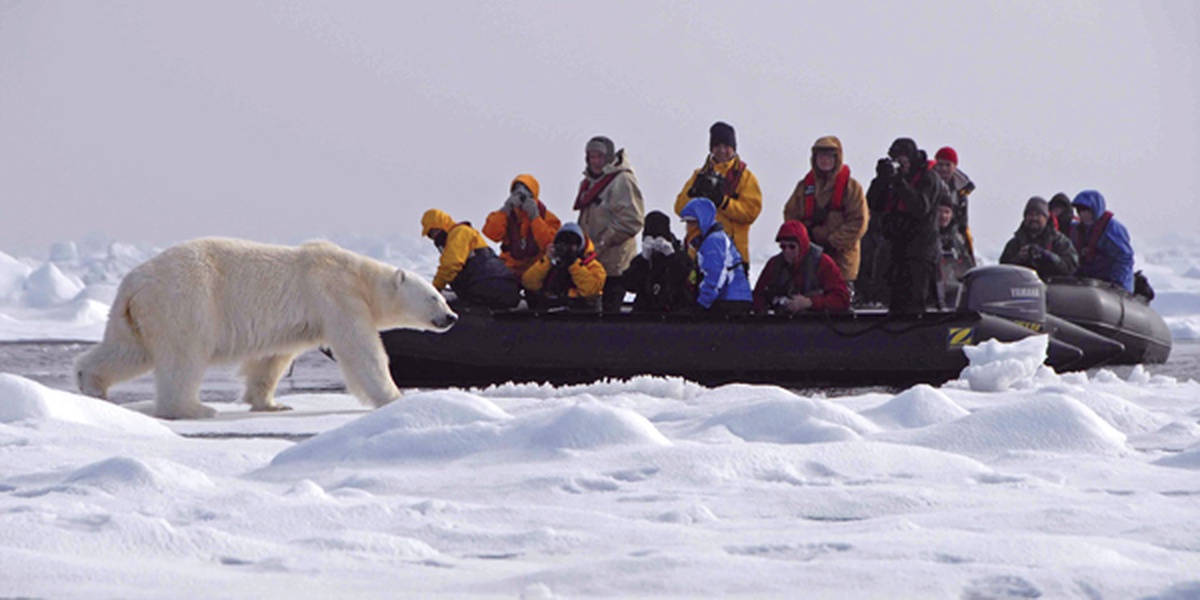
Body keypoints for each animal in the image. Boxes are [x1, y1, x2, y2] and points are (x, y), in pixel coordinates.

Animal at [74, 237, 458, 419]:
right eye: (435, 296)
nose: (452, 317)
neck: (360, 276)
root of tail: (132, 284)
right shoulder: (336, 295)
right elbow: (362, 349)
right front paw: (396, 398)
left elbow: (271, 359)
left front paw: (272, 405)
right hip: (186, 300)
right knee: (183, 356)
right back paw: (194, 408)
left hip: (134, 315)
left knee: (126, 350)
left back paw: (91, 384)